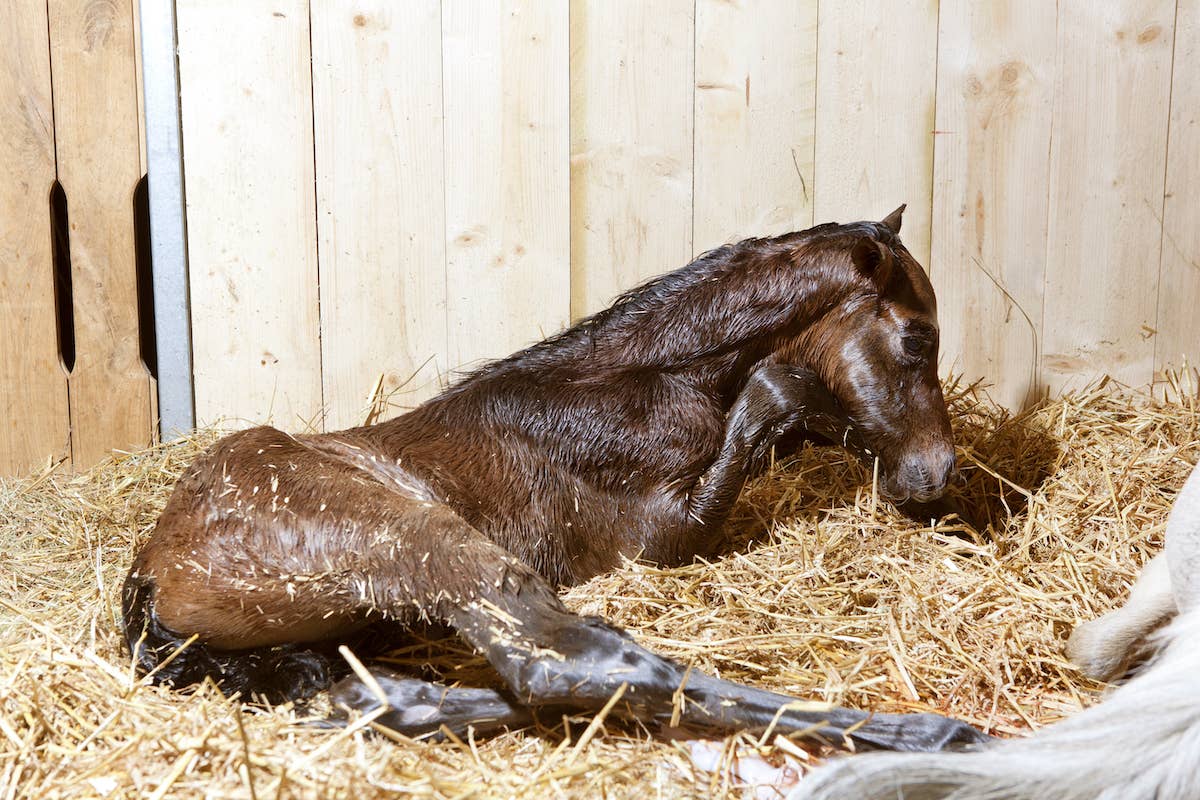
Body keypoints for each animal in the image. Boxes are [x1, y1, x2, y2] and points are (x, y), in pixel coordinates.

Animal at [121, 206, 988, 752]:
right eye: (917, 338)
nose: (936, 471)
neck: (620, 386)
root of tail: (148, 574)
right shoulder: (654, 536)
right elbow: (774, 397)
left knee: (379, 695)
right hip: (422, 540)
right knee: (568, 663)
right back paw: (933, 734)